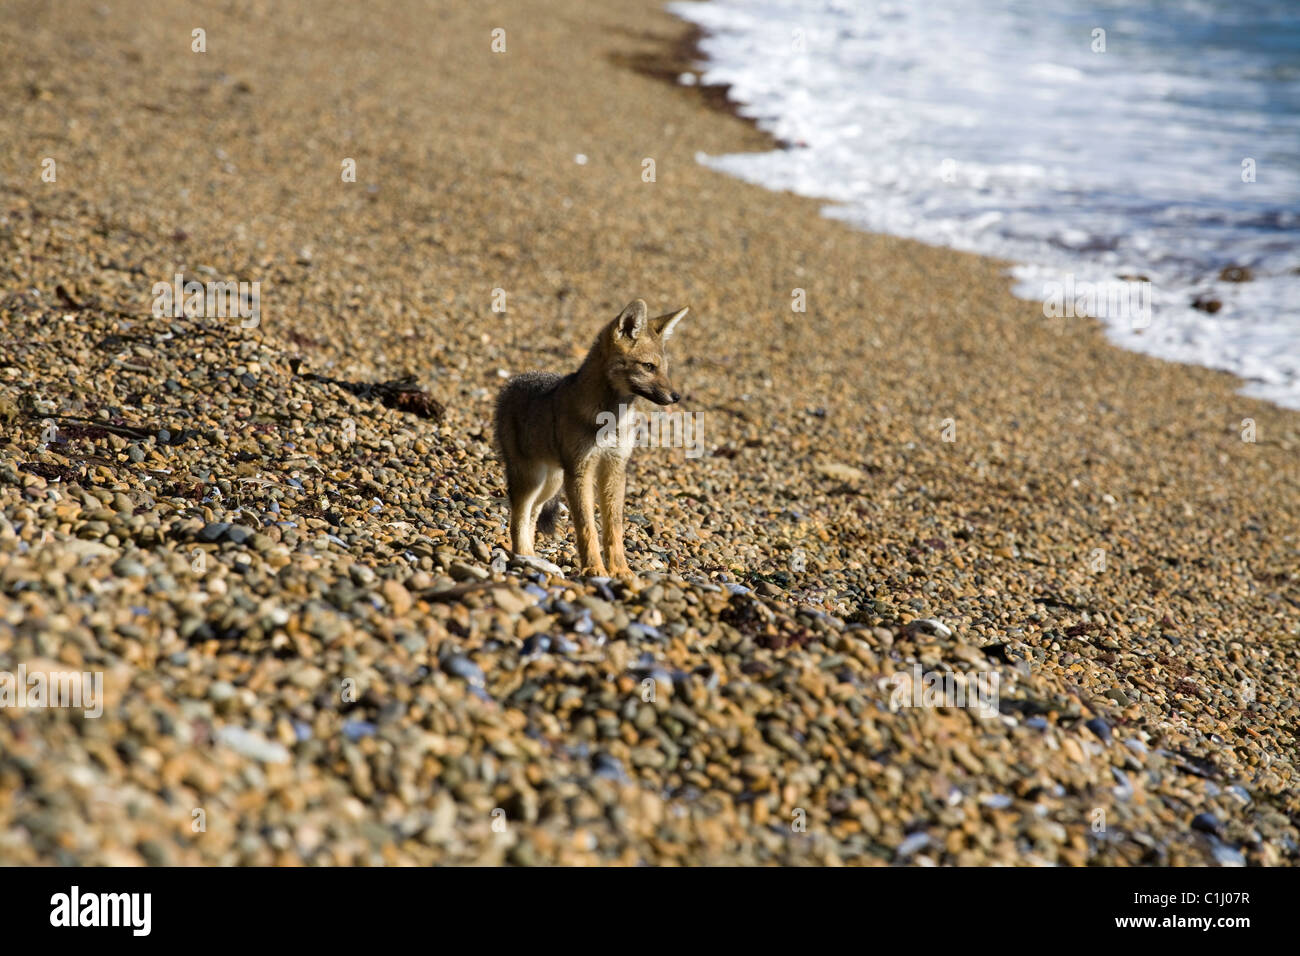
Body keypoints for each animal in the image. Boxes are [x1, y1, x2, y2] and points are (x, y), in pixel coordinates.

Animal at [494, 298, 688, 582]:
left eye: (665, 369)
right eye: (648, 367)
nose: (676, 397)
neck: (612, 419)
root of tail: (514, 380)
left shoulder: (615, 469)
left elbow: (614, 528)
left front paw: (620, 569)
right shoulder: (580, 471)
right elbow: (586, 526)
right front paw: (594, 568)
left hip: (550, 483)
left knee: (532, 514)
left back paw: (533, 557)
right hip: (531, 479)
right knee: (518, 516)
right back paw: (524, 557)